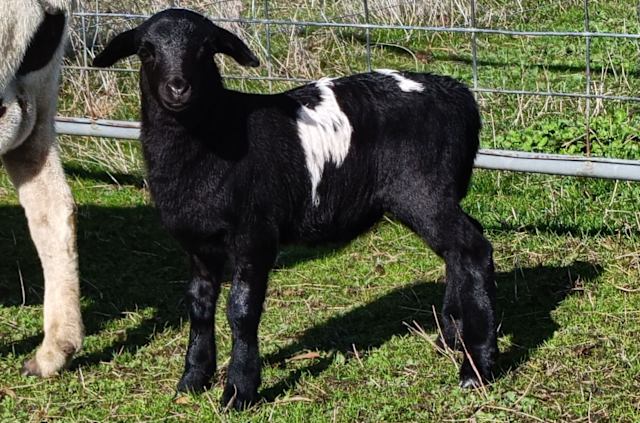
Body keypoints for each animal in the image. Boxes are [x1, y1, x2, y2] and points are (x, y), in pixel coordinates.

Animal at [93, 8, 497, 410]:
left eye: (206, 49)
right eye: (146, 50)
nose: (178, 88)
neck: (218, 132)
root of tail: (459, 95)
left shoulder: (255, 232)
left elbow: (241, 310)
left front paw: (239, 390)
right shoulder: (198, 243)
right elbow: (199, 304)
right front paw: (192, 379)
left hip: (422, 190)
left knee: (473, 249)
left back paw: (477, 366)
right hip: (434, 194)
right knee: (459, 249)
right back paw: (453, 334)